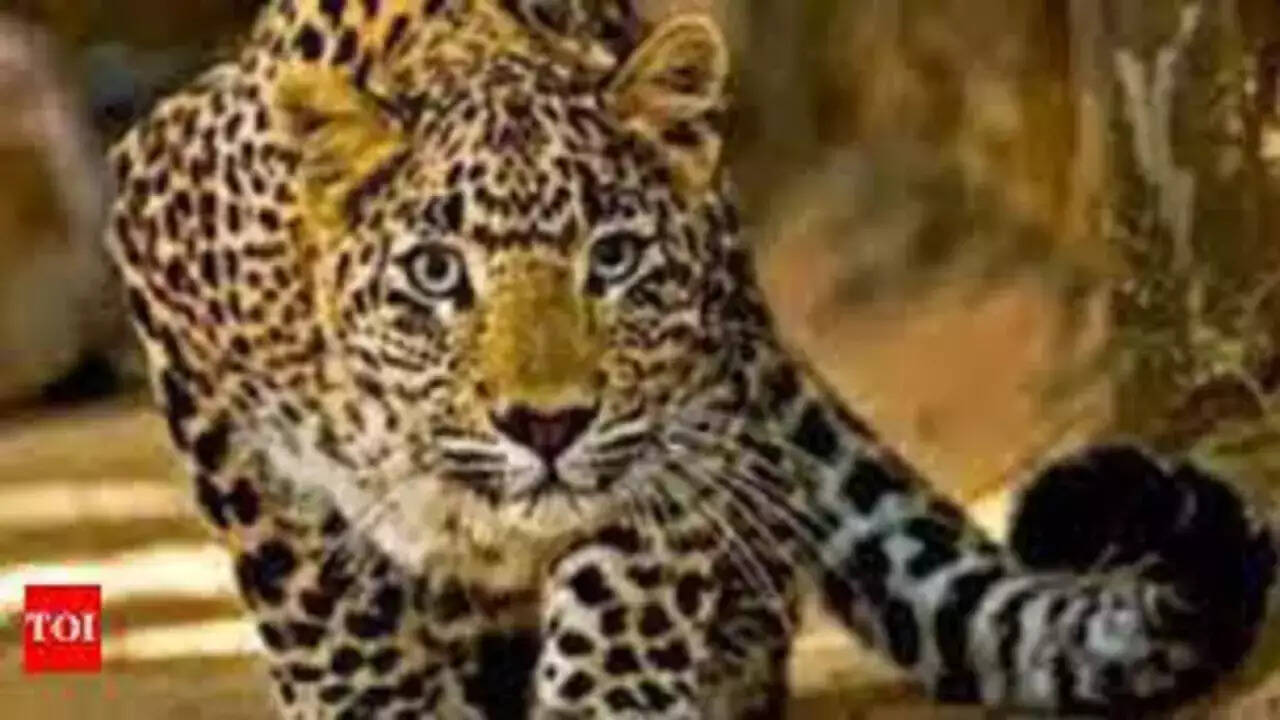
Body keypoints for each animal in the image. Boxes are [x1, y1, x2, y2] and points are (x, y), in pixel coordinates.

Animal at [104, 0, 1279, 717]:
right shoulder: (169, 276)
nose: (545, 425)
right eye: (437, 275)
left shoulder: (684, 426)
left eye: (614, 259)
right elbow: (323, 605)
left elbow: (624, 603)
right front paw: (366, 691)